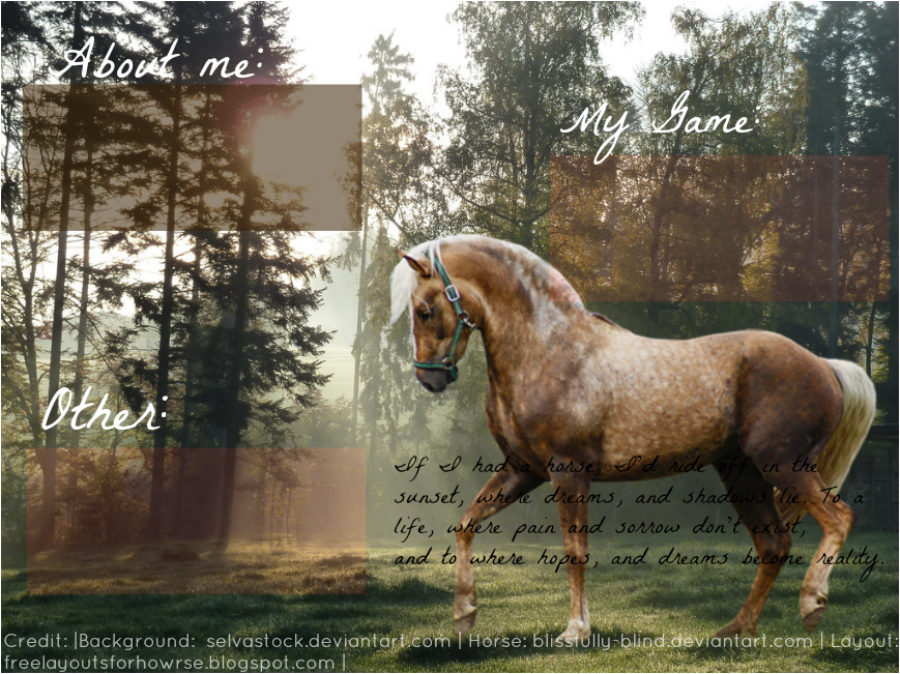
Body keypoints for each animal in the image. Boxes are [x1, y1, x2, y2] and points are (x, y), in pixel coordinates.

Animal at [389, 233, 877, 644]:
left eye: (425, 310)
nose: (429, 380)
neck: (548, 350)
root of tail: (825, 365)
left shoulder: (568, 472)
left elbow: (575, 551)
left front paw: (576, 632)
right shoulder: (523, 471)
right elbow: (466, 524)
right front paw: (464, 615)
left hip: (783, 464)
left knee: (838, 518)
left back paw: (811, 605)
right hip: (742, 474)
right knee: (774, 546)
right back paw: (735, 630)